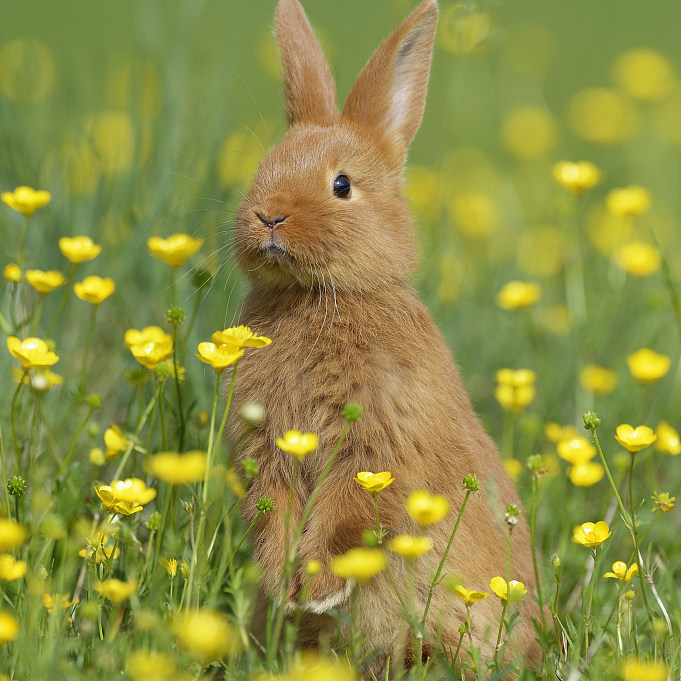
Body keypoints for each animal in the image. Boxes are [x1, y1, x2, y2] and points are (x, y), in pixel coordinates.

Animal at [227, 0, 542, 673]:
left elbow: (348, 514)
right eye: (263, 169)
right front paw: (282, 580)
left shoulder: (378, 435)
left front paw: (316, 588)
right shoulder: (267, 449)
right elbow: (274, 515)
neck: (317, 297)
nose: (268, 215)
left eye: (342, 185)